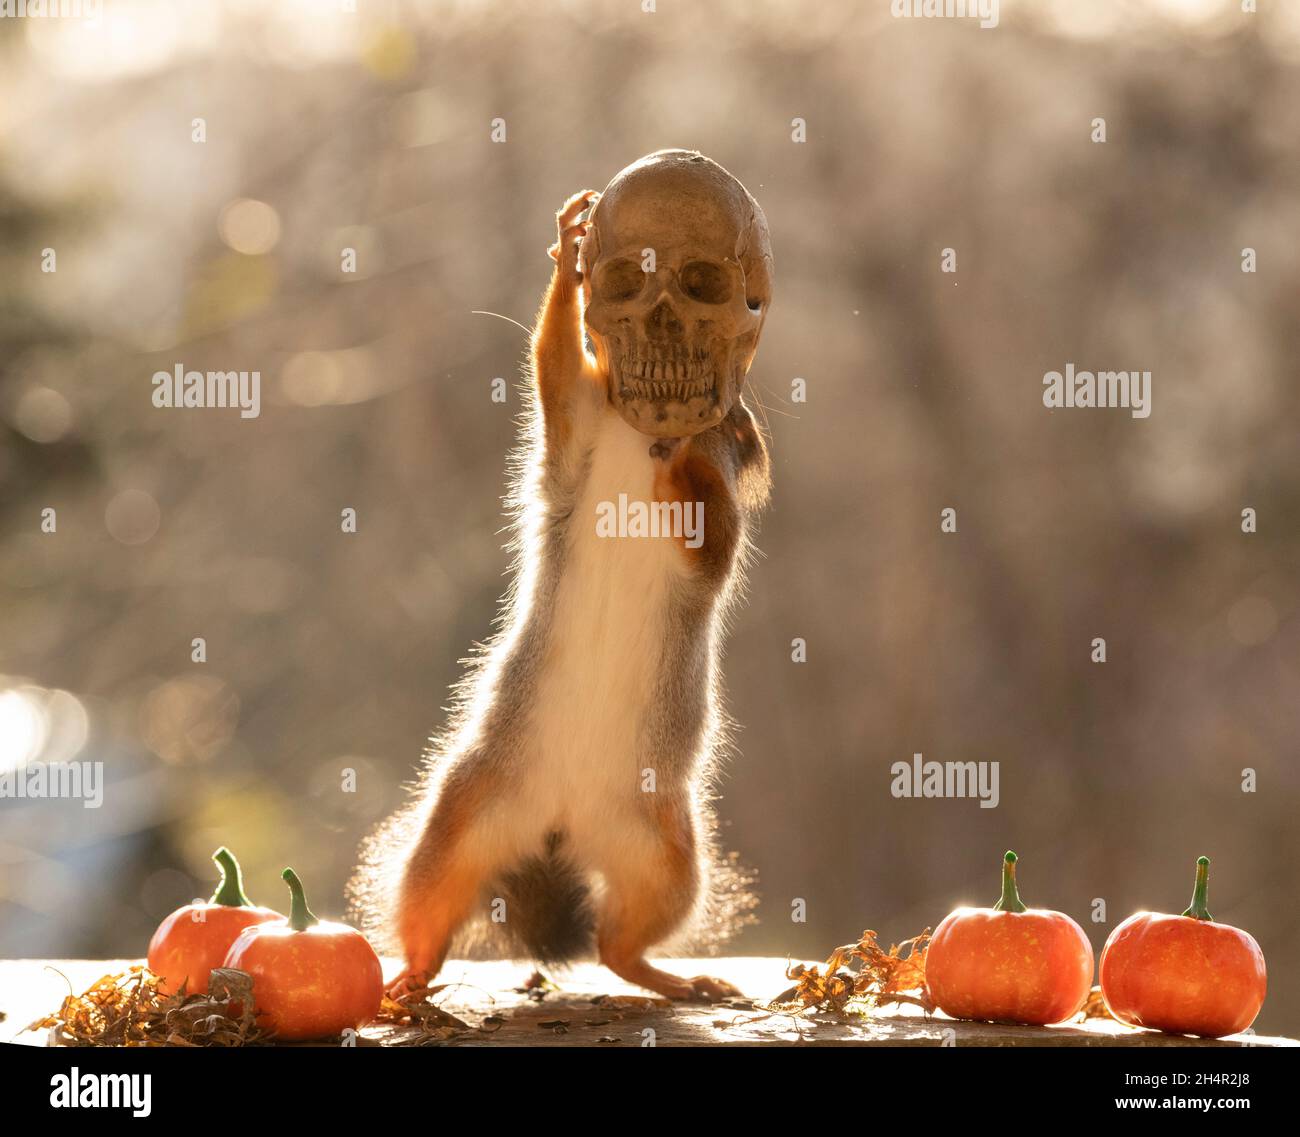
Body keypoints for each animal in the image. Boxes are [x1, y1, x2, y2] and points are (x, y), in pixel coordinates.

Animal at [351, 151, 773, 1001]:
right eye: (624, 278)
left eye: (739, 427)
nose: (682, 430)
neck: (642, 441)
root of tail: (560, 830)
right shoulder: (578, 429)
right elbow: (555, 369)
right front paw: (568, 247)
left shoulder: (716, 519)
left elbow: (709, 535)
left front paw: (686, 467)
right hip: (463, 816)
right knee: (431, 905)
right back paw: (408, 976)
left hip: (665, 854)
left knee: (621, 942)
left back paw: (675, 980)